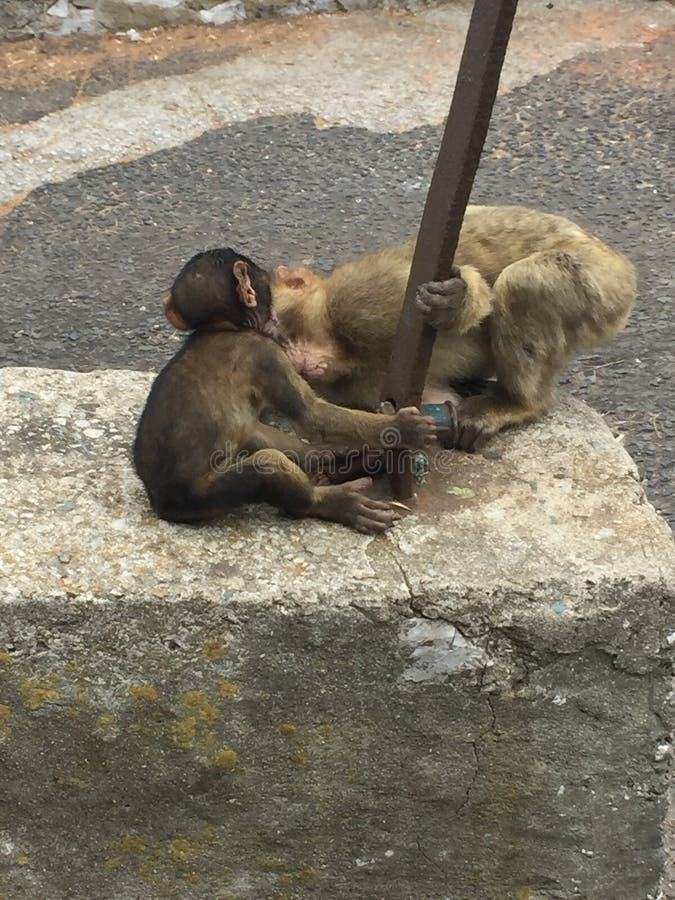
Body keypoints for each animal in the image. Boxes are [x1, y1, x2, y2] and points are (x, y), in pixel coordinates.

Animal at [133, 248, 437, 533]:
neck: (222, 328)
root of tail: (161, 503)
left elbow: (251, 429)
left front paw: (327, 454)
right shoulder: (265, 352)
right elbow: (311, 417)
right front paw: (402, 428)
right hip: (201, 497)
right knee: (268, 464)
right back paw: (325, 502)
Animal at [271, 205, 637, 451]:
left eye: (278, 332)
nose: (294, 362)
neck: (342, 344)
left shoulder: (364, 299)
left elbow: (478, 297)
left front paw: (458, 300)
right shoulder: (354, 384)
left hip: (602, 285)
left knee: (524, 281)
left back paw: (520, 403)